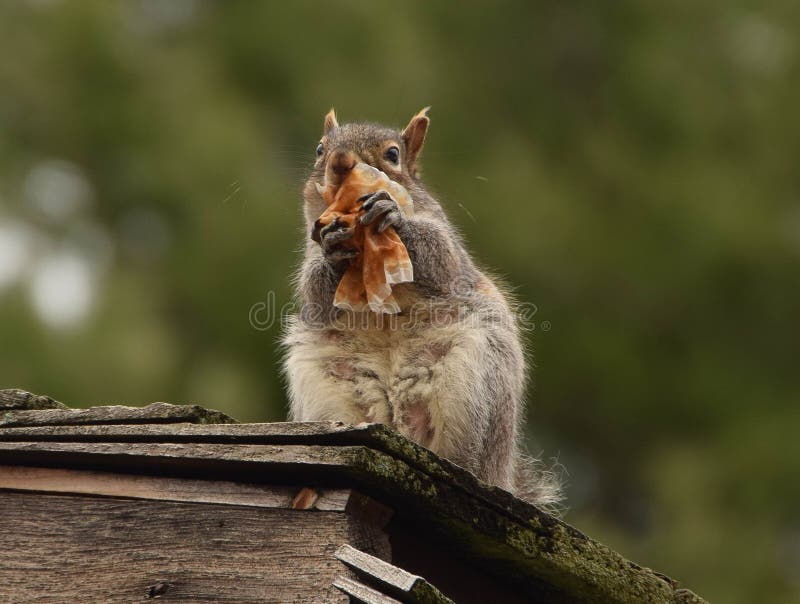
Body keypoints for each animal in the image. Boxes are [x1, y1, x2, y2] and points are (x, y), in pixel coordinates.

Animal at [283, 108, 561, 510]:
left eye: (393, 154)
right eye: (320, 149)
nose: (339, 161)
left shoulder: (446, 246)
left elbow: (438, 255)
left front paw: (392, 215)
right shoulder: (311, 257)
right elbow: (315, 292)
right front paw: (334, 249)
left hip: (476, 383)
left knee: (465, 461)